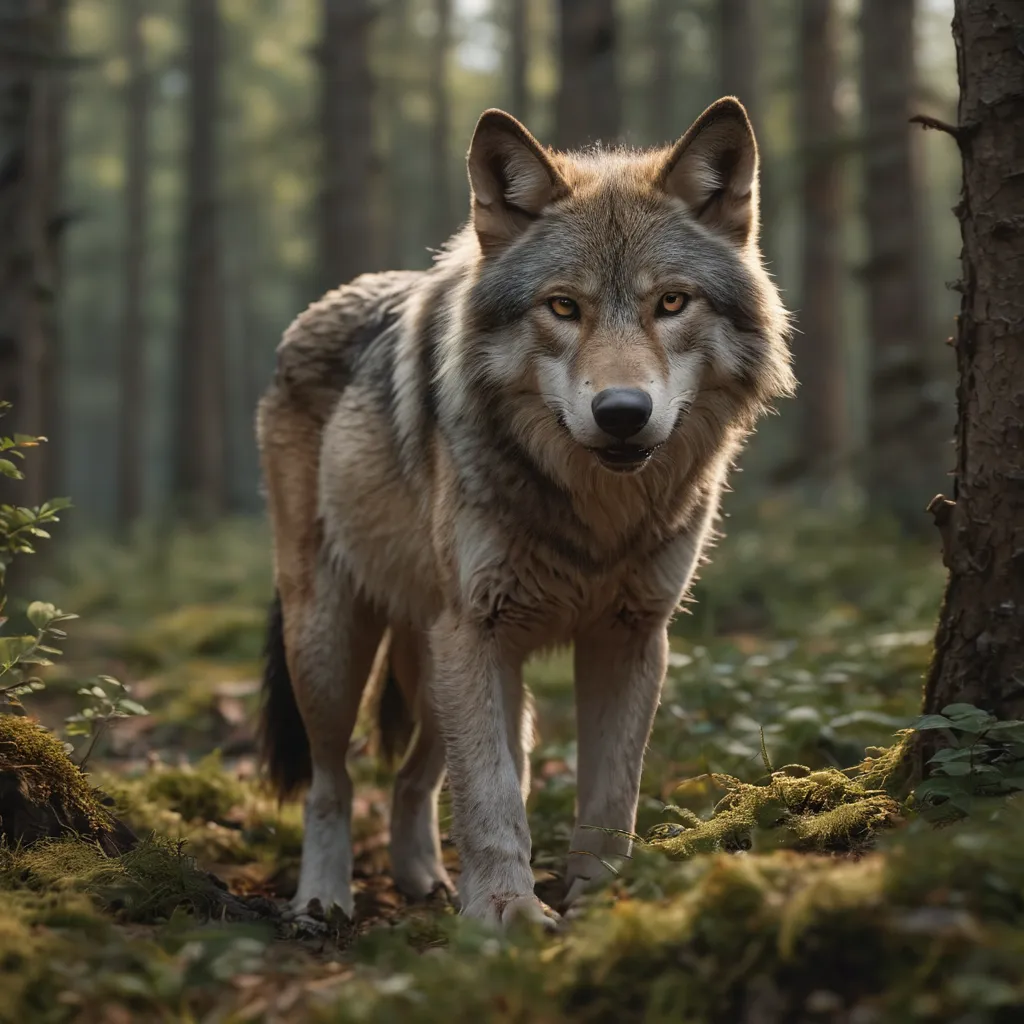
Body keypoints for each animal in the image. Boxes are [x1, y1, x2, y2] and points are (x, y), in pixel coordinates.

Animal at [256, 97, 794, 930]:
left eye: (671, 302)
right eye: (563, 307)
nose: (622, 413)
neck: (596, 516)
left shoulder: (630, 637)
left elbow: (611, 794)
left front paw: (601, 900)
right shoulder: (479, 633)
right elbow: (493, 796)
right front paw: (508, 914)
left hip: (438, 660)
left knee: (415, 777)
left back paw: (425, 881)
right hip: (334, 642)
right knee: (332, 779)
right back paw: (324, 897)